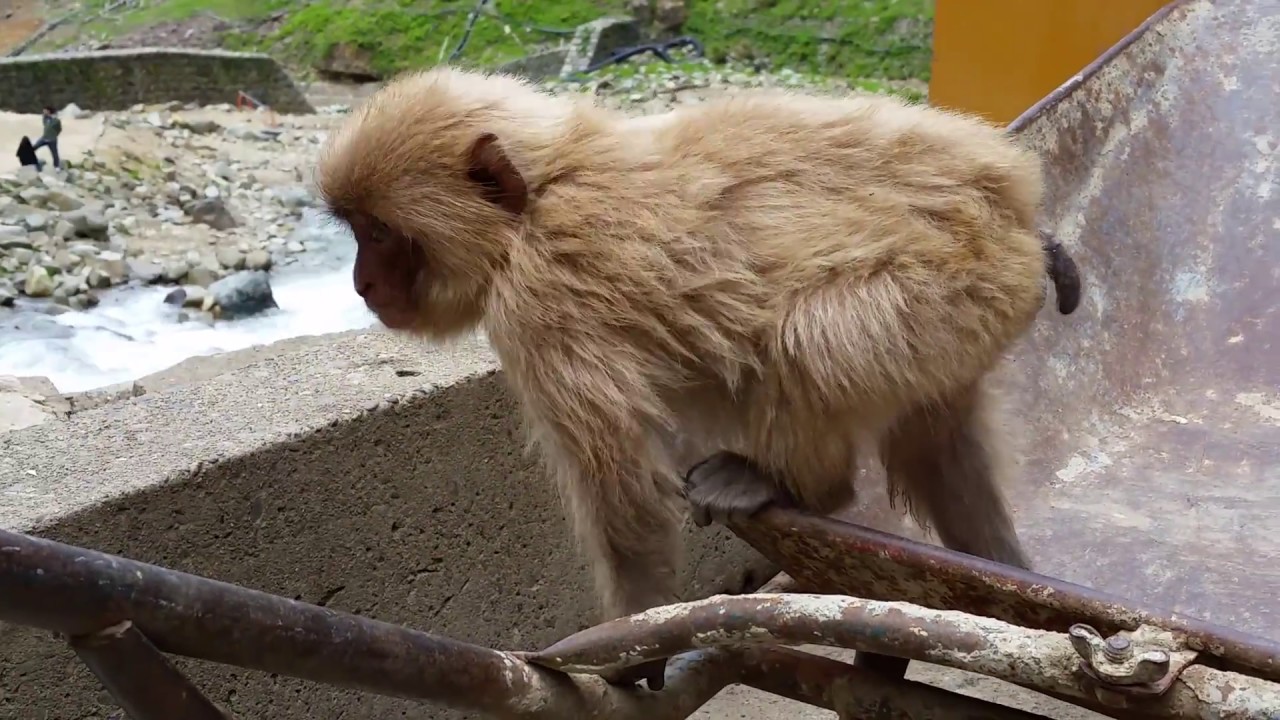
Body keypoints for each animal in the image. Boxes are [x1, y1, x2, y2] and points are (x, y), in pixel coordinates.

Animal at [316, 67, 1081, 691]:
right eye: (356, 231)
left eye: (378, 234)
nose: (359, 284)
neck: (542, 199)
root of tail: (1014, 231)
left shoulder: (542, 303)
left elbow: (623, 497)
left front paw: (629, 653)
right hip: (967, 319)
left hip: (945, 294)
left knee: (805, 335)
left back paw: (805, 489)